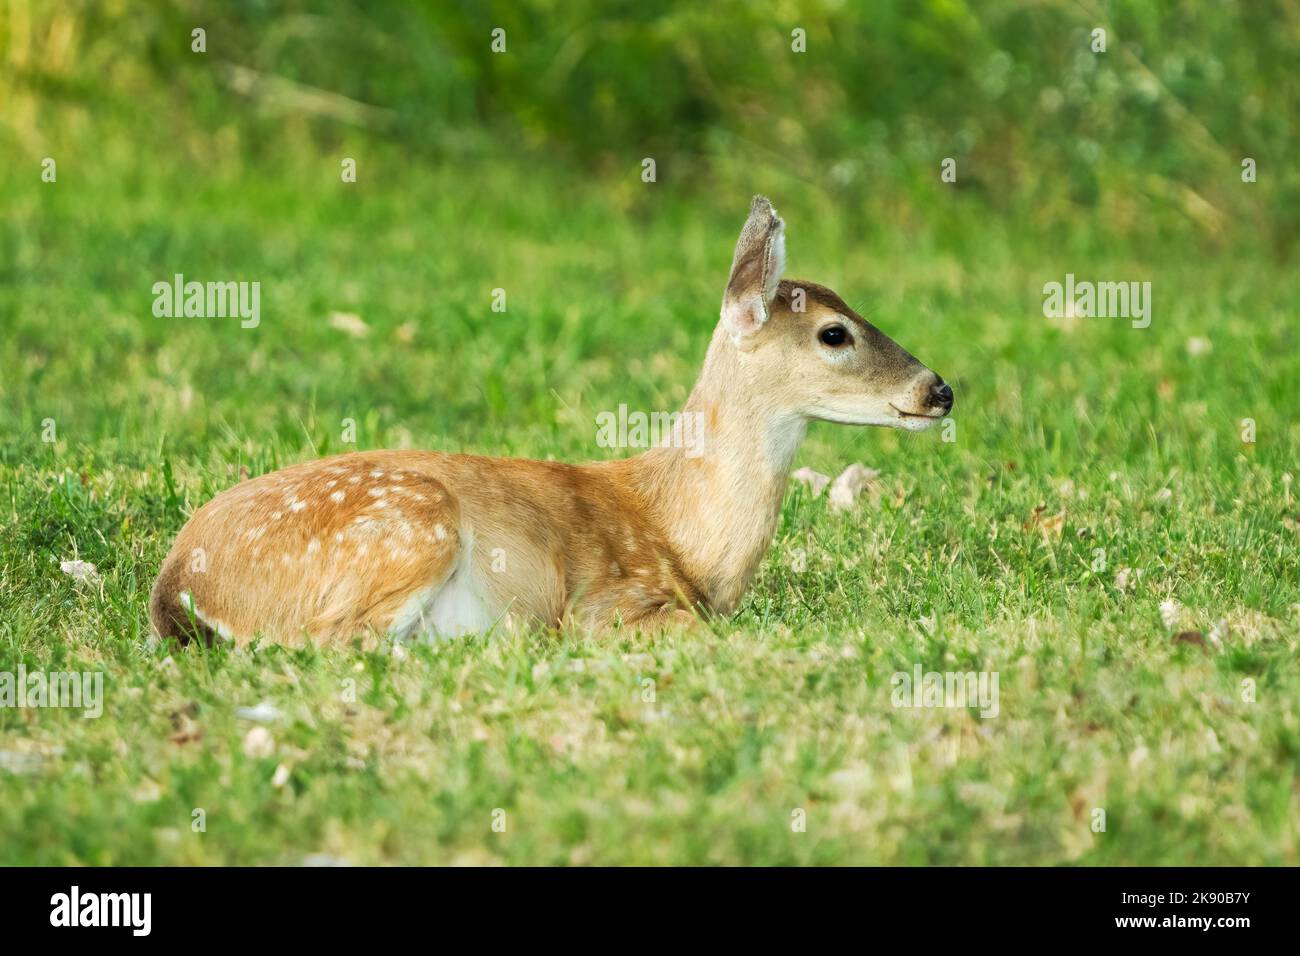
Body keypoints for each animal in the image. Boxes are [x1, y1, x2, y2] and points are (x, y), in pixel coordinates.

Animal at [150, 197, 953, 647]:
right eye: (834, 334)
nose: (939, 390)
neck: (683, 535)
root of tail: (178, 583)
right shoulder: (614, 602)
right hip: (411, 526)